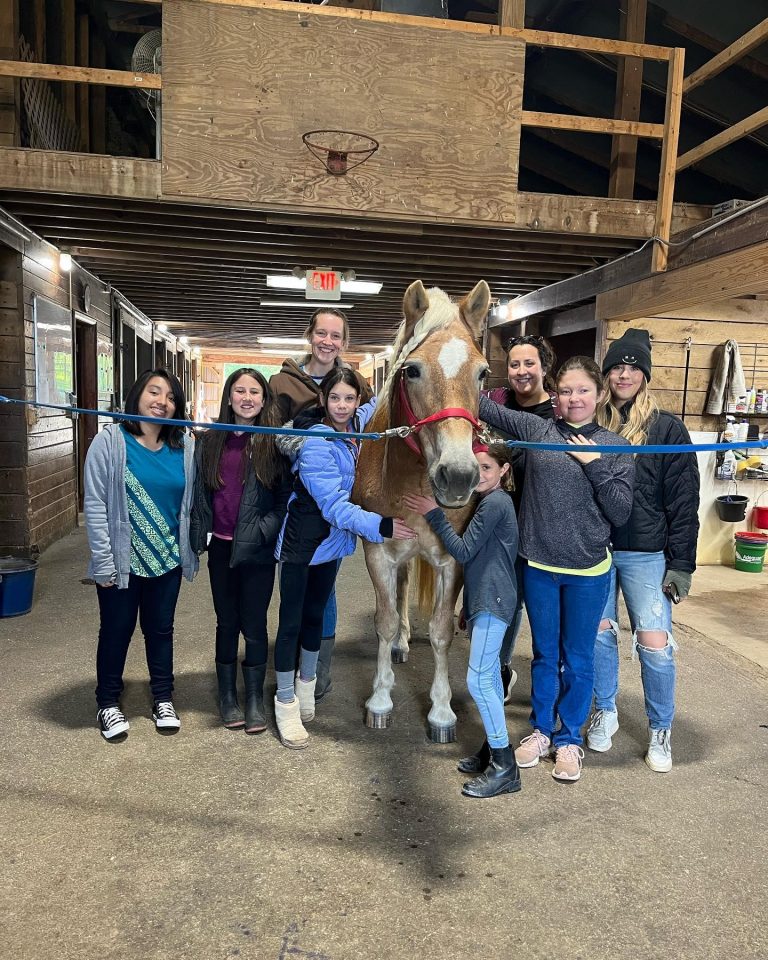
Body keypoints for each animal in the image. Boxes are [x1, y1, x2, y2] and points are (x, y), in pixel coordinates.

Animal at [352, 279, 491, 743]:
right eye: (411, 370)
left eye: (483, 373)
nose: (458, 476)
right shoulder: (378, 552)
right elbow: (386, 620)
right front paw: (380, 700)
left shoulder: (453, 560)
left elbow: (441, 631)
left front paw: (442, 711)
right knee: (400, 594)